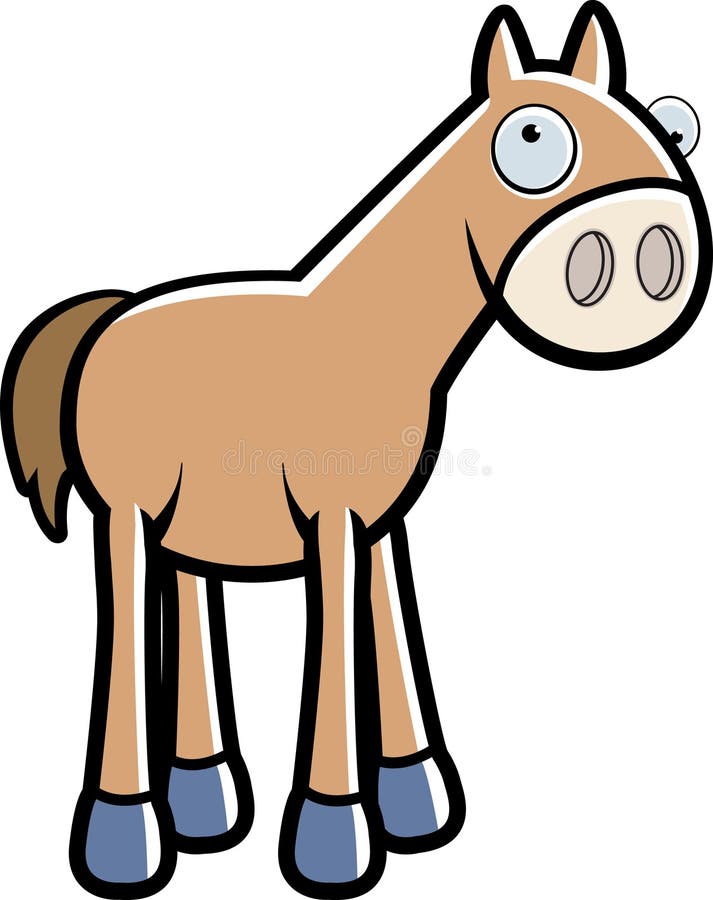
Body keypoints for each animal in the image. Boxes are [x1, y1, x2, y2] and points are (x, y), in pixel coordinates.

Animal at [2, 3, 710, 898]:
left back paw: (204, 810)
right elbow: (337, 644)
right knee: (127, 615)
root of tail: (107, 317)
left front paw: (415, 809)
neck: (370, 330)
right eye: (532, 137)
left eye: (674, 128)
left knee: (189, 598)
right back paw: (127, 840)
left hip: (190, 527)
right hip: (125, 516)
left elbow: (391, 634)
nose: (646, 252)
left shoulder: (378, 522)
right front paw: (334, 843)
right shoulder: (330, 520)